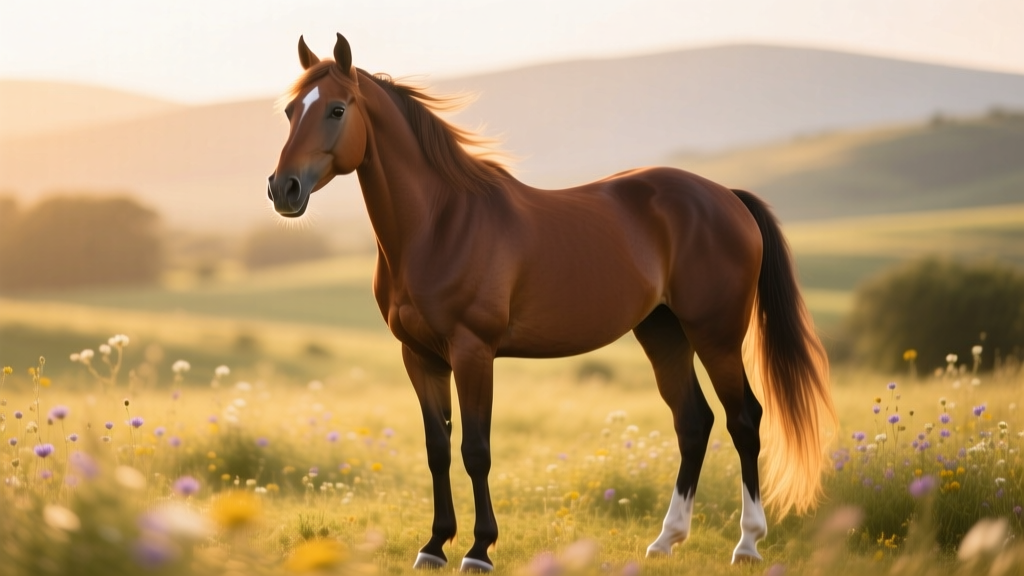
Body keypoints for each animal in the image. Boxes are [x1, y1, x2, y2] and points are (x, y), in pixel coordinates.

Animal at [269, 33, 837, 572]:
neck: (438, 226)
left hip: (715, 336)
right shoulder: (421, 357)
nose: (283, 189)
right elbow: (437, 450)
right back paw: (665, 542)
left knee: (745, 420)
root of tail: (726, 196)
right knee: (693, 422)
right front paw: (433, 546)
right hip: (663, 332)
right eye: (291, 111)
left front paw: (479, 550)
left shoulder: (473, 352)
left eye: (336, 109)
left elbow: (475, 450)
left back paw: (747, 545)